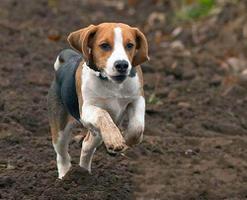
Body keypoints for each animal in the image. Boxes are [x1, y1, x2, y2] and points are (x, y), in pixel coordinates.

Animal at [47, 22, 149, 179]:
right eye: (104, 45)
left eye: (130, 45)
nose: (122, 65)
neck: (111, 83)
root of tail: (67, 60)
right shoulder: (87, 109)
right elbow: (102, 113)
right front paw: (115, 139)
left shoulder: (137, 98)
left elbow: (137, 128)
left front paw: (126, 142)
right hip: (60, 129)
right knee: (62, 154)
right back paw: (65, 176)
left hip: (96, 134)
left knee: (86, 145)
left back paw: (84, 173)